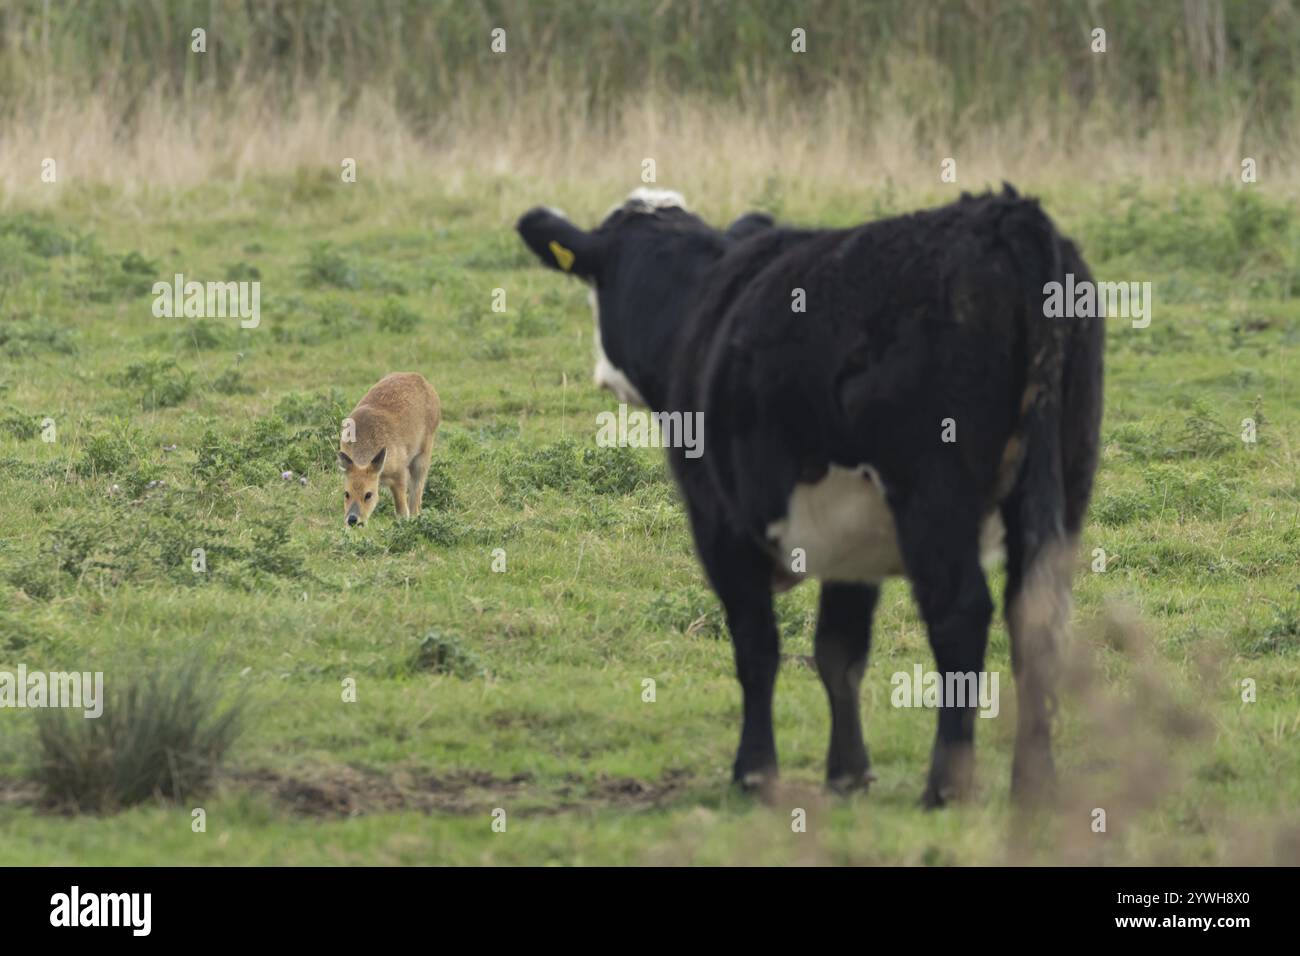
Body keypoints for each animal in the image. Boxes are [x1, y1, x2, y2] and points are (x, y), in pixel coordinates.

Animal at [516, 185, 1104, 807]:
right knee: (1037, 616)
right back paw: (1036, 782)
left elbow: (757, 645)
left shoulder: (720, 522)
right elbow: (838, 651)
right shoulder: (852, 535)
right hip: (1065, 478)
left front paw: (754, 771)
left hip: (933, 499)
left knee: (961, 613)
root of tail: (1008, 214)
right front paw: (847, 773)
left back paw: (946, 786)